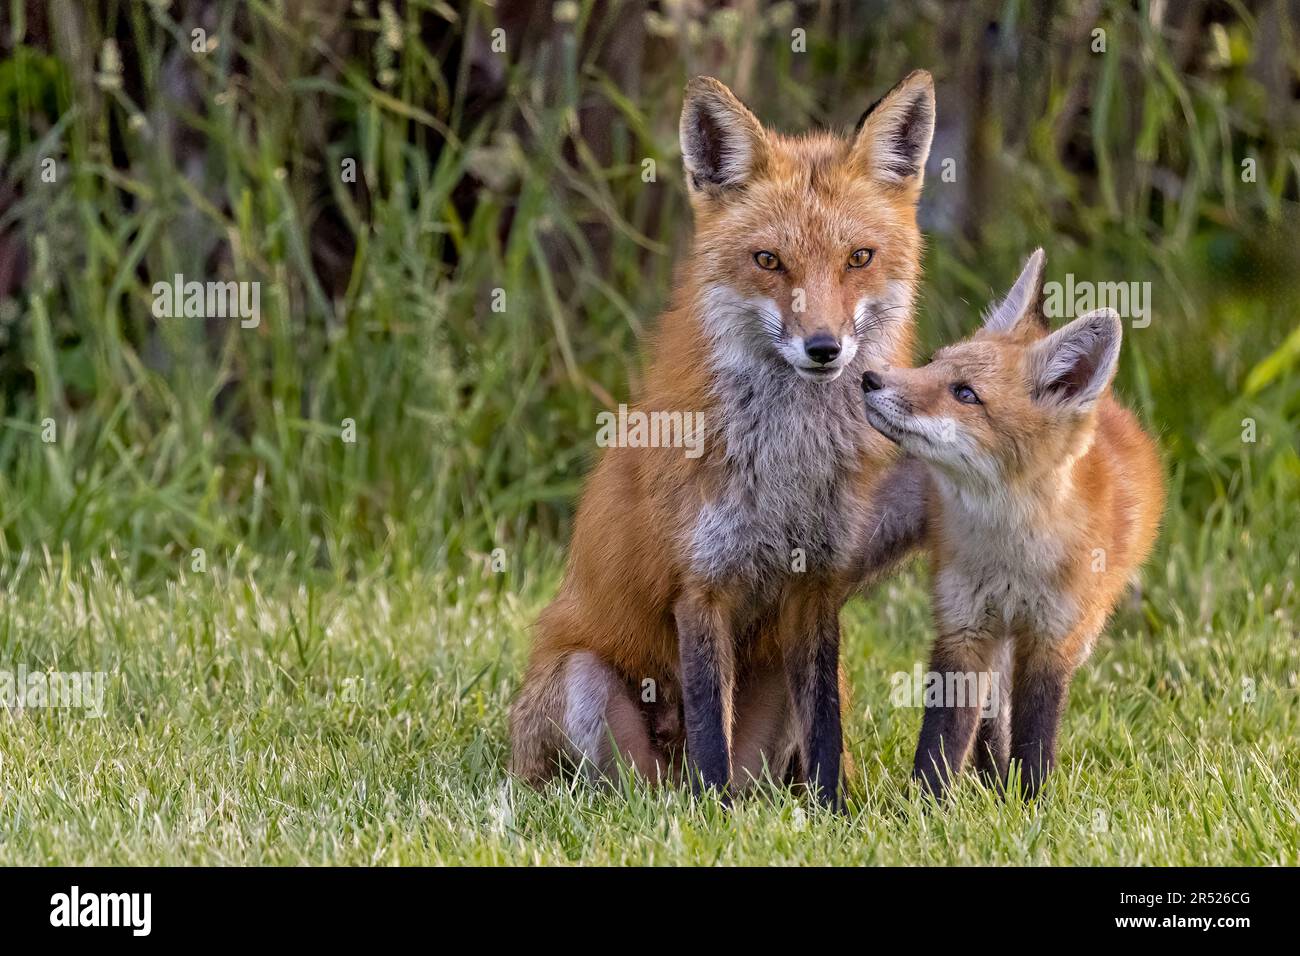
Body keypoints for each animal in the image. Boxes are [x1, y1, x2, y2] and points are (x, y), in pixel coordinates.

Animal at [508, 70, 937, 806]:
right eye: (769, 260)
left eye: (859, 258)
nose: (824, 347)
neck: (788, 465)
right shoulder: (699, 585)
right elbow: (711, 725)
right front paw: (708, 818)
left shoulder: (817, 585)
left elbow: (826, 733)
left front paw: (834, 813)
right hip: (585, 683)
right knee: (646, 785)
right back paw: (685, 805)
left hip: (770, 729)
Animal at [860, 249, 1165, 799]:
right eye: (933, 361)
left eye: (965, 394)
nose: (870, 379)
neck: (1010, 553)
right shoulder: (962, 627)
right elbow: (942, 735)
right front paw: (925, 804)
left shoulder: (1053, 639)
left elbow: (1037, 731)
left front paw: (1033, 802)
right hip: (995, 636)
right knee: (991, 710)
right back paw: (990, 779)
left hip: (1075, 630)